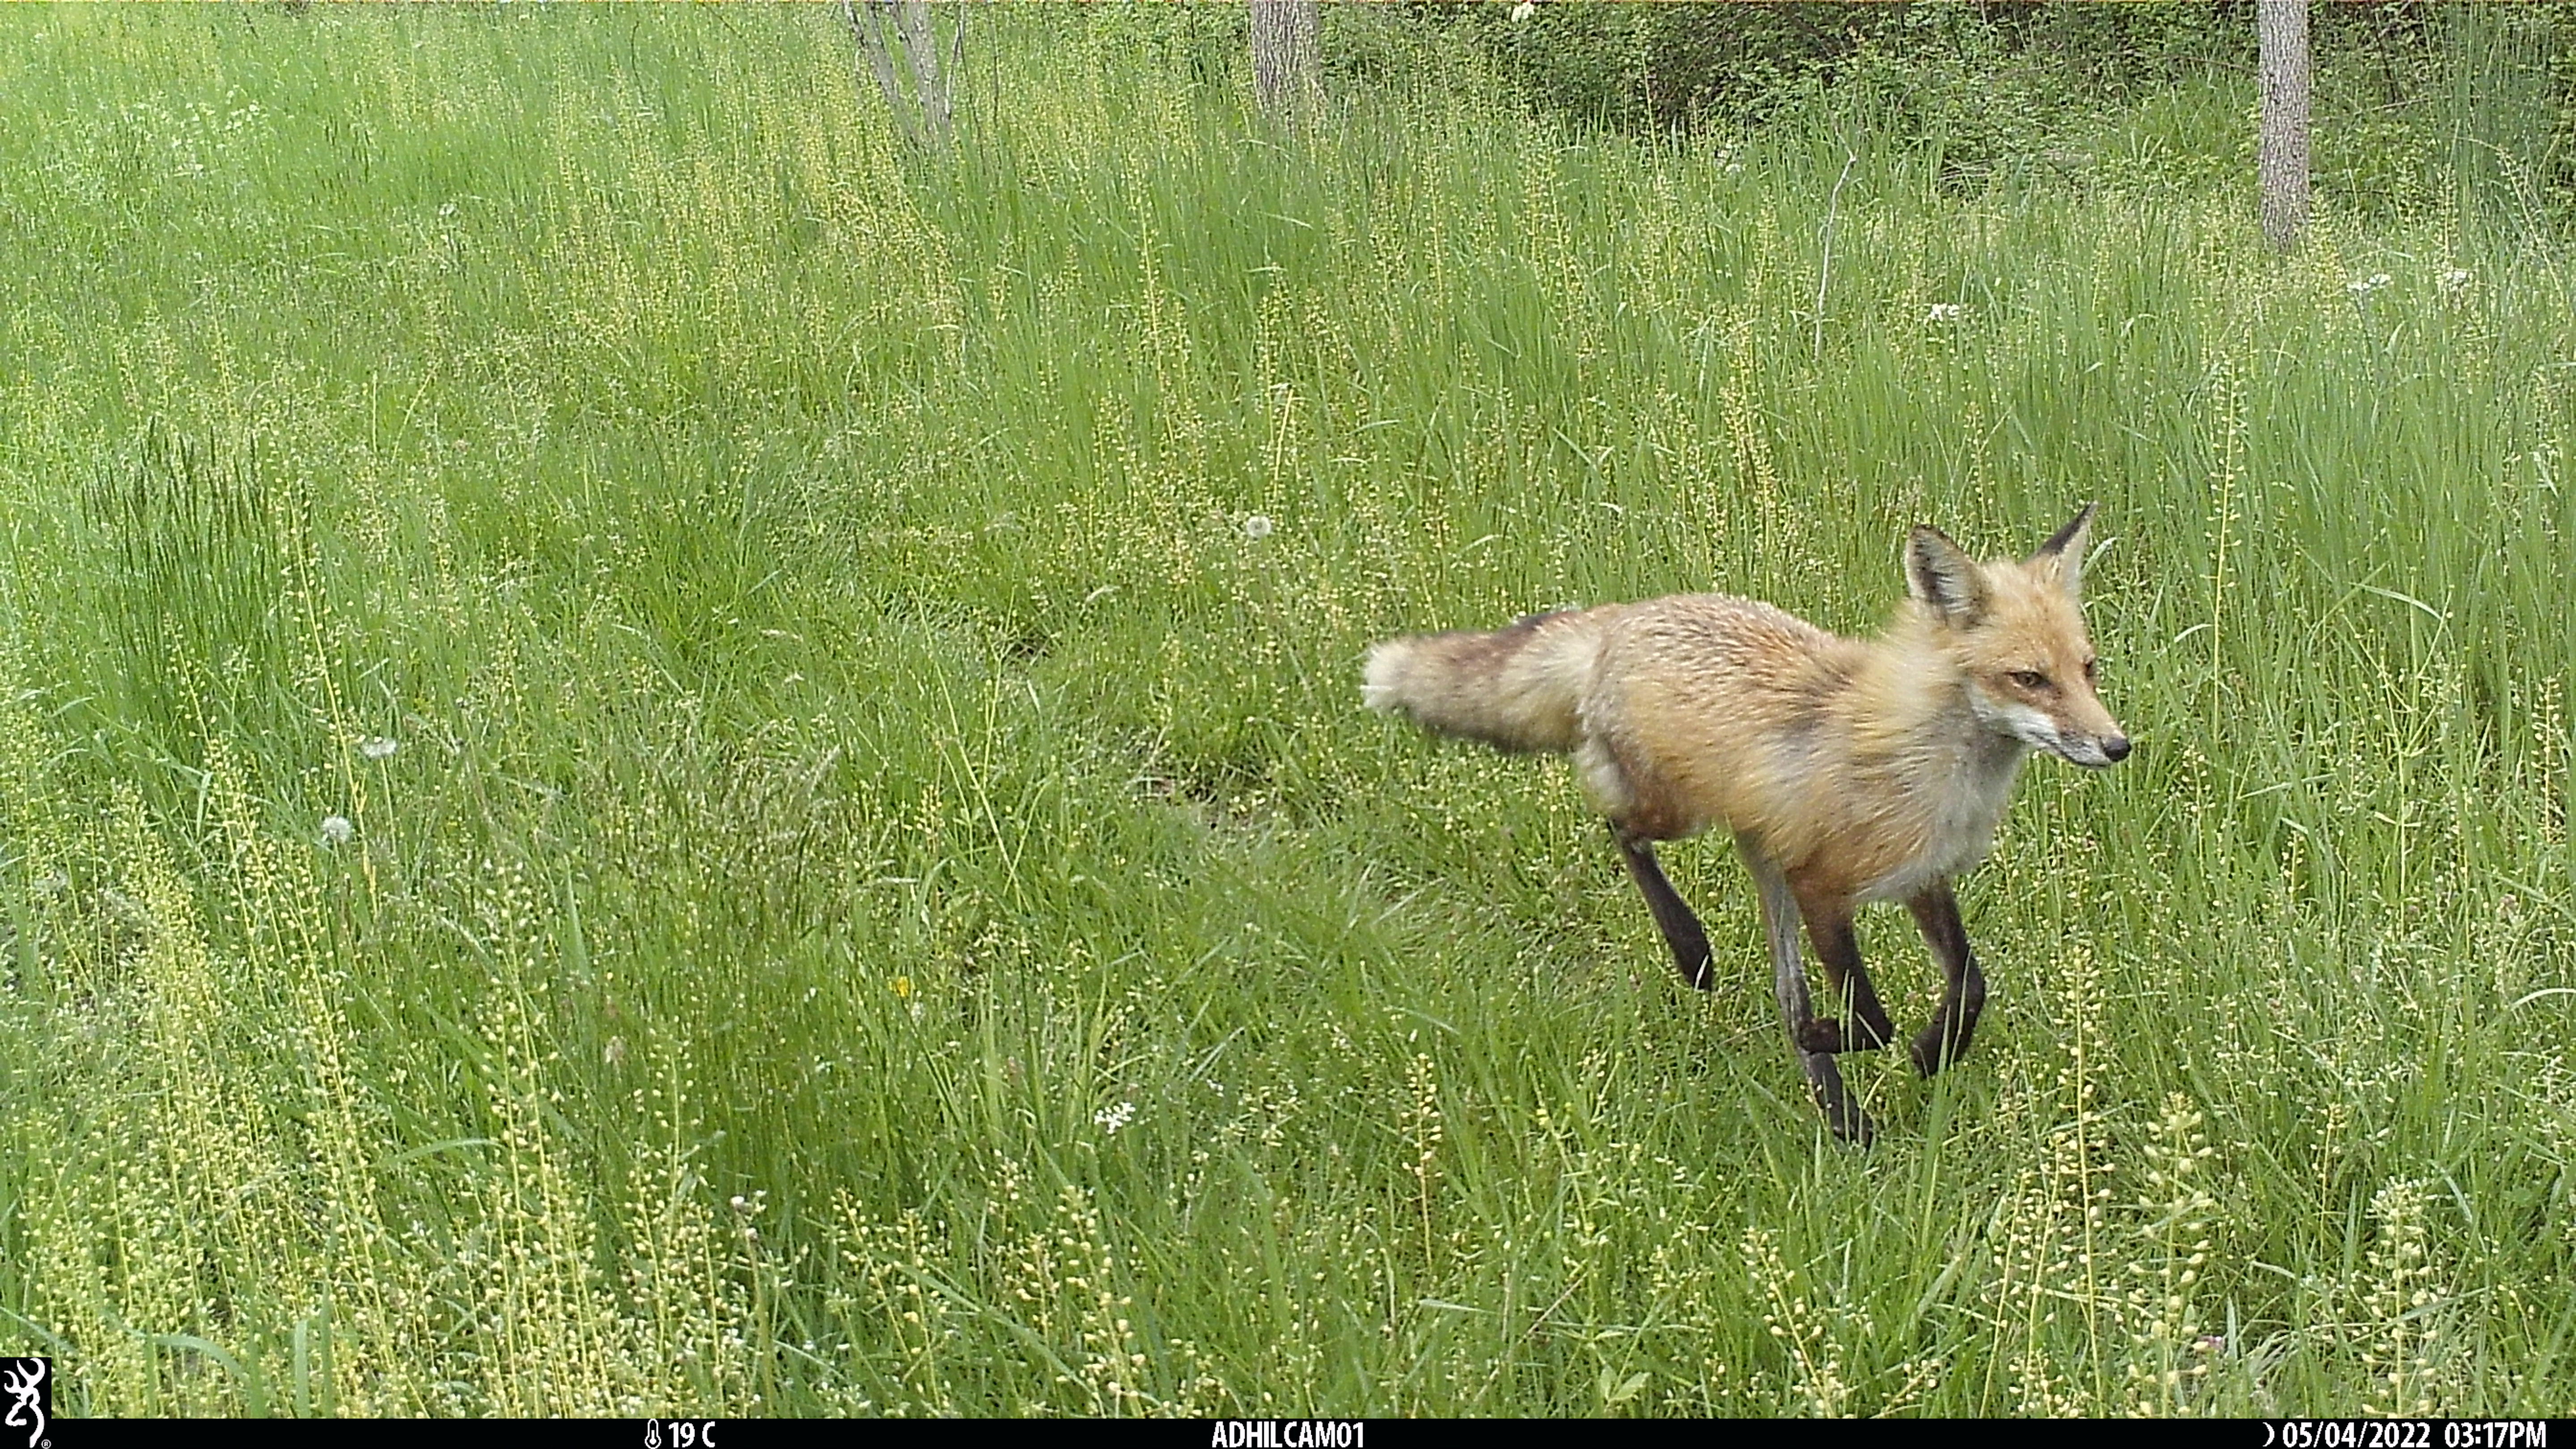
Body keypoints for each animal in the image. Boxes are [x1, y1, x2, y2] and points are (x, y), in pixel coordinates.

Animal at [1362, 506, 2128, 1143]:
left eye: (2088, 670)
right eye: (2029, 679)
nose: (2118, 746)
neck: (1928, 766)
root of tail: (1620, 618)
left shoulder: (1919, 878)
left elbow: (1970, 987)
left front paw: (1930, 1053)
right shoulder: (1821, 883)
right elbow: (1870, 1020)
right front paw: (1862, 1041)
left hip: (1762, 857)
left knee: (1786, 989)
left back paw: (1841, 1117)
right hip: (1678, 813)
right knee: (1616, 828)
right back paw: (1691, 950)